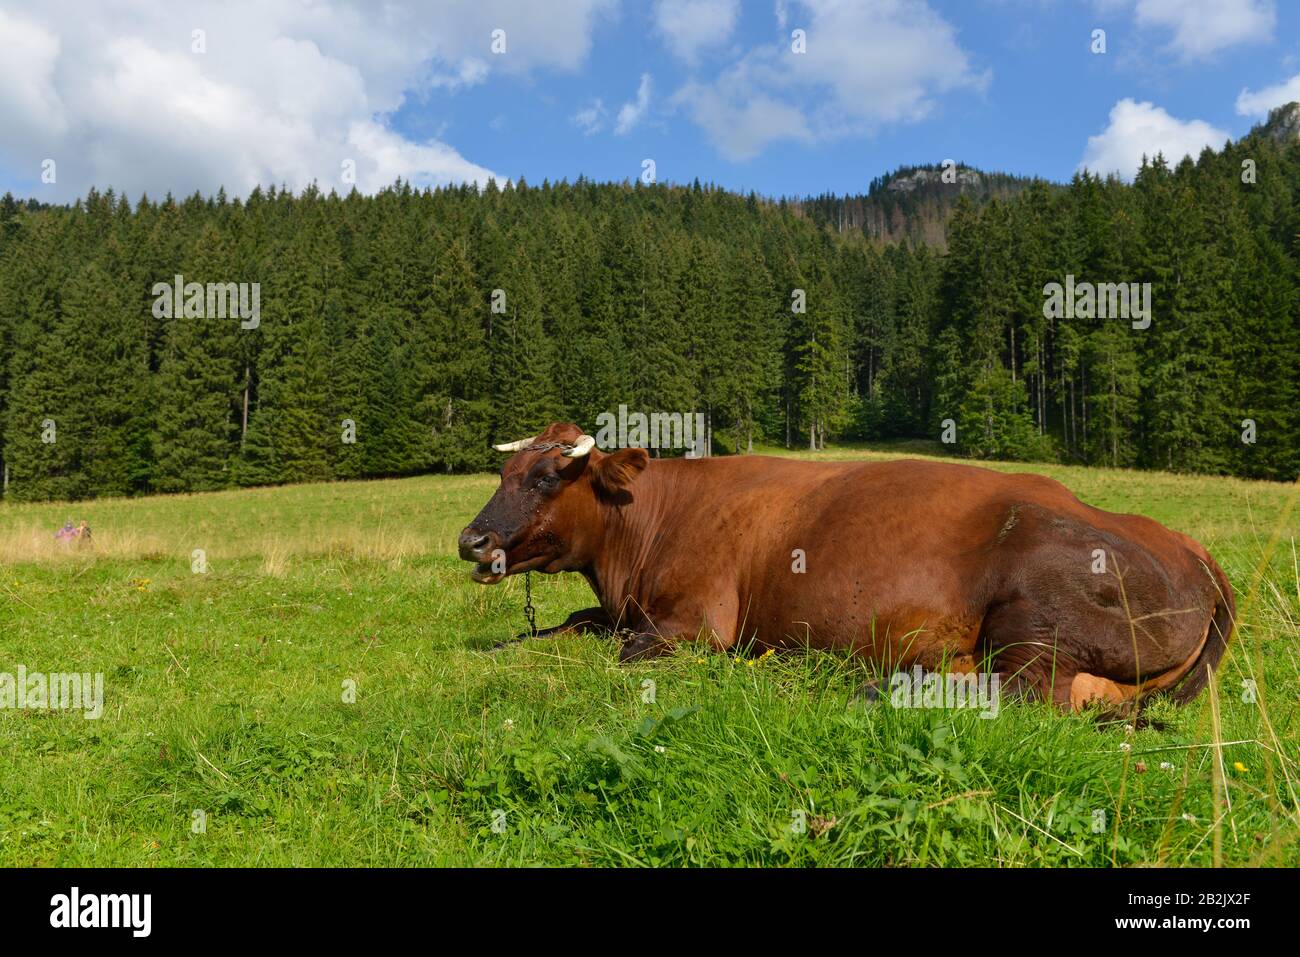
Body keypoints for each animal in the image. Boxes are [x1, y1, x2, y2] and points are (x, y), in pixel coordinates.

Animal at [458, 422, 1235, 712]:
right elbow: (563, 623)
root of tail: (1188, 544)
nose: (470, 539)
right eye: (504, 471)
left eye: (546, 479)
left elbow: (619, 652)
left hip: (1039, 606)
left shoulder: (690, 624)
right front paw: (500, 645)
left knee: (1024, 697)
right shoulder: (620, 609)